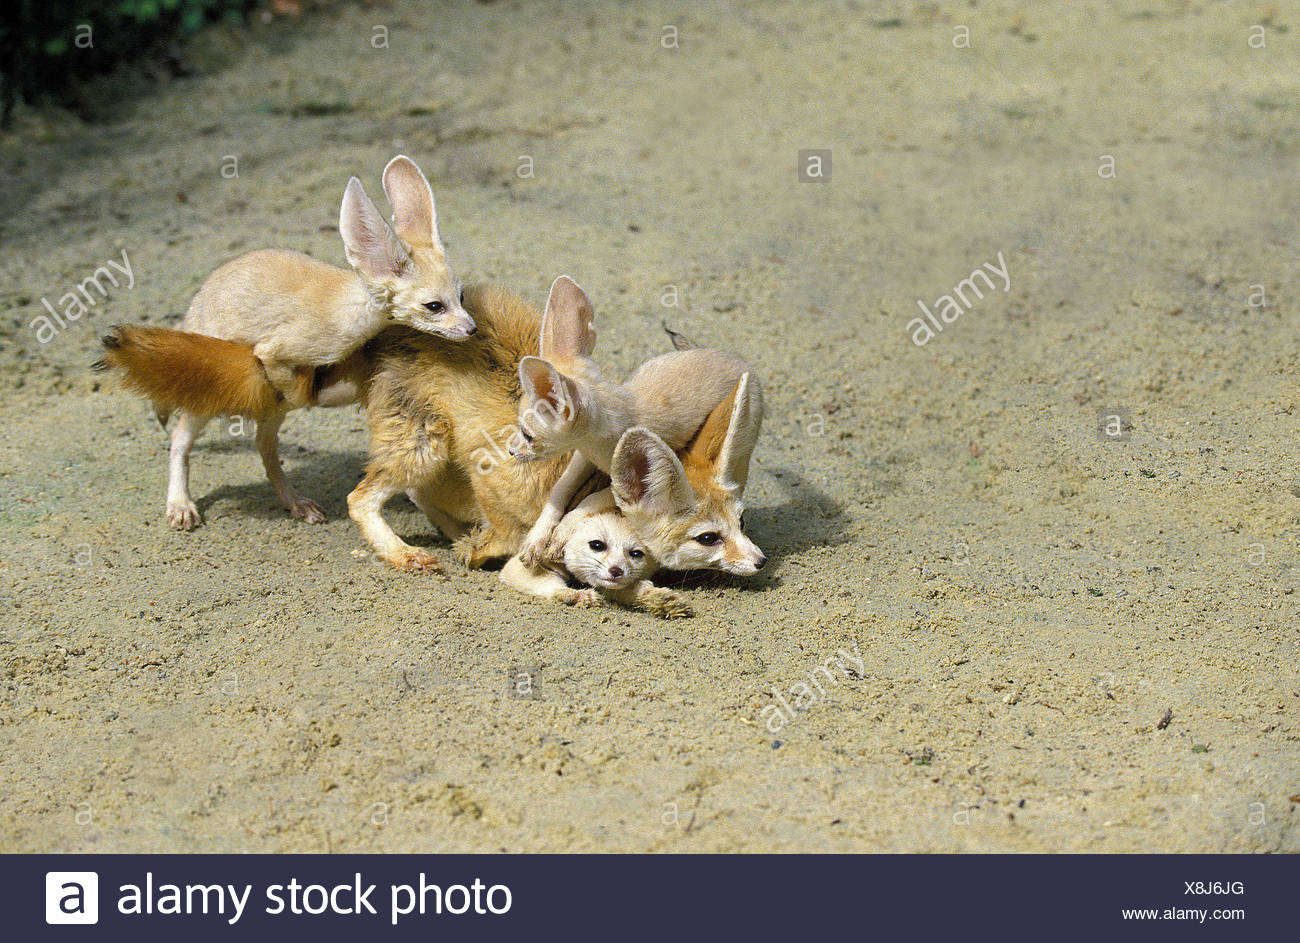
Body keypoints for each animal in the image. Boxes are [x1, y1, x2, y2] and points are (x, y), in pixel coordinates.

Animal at [95, 155, 474, 530]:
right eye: (434, 306)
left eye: (460, 297)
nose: (471, 329)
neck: (352, 308)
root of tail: (192, 311)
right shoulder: (276, 351)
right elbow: (290, 384)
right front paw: (307, 393)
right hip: (205, 396)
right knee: (180, 440)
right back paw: (180, 503)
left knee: (265, 450)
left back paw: (295, 502)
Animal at [508, 276, 759, 570]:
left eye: (527, 436)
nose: (510, 451)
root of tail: (734, 357)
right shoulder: (584, 455)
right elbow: (560, 488)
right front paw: (537, 536)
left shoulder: (630, 478)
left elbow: (593, 499)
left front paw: (563, 531)